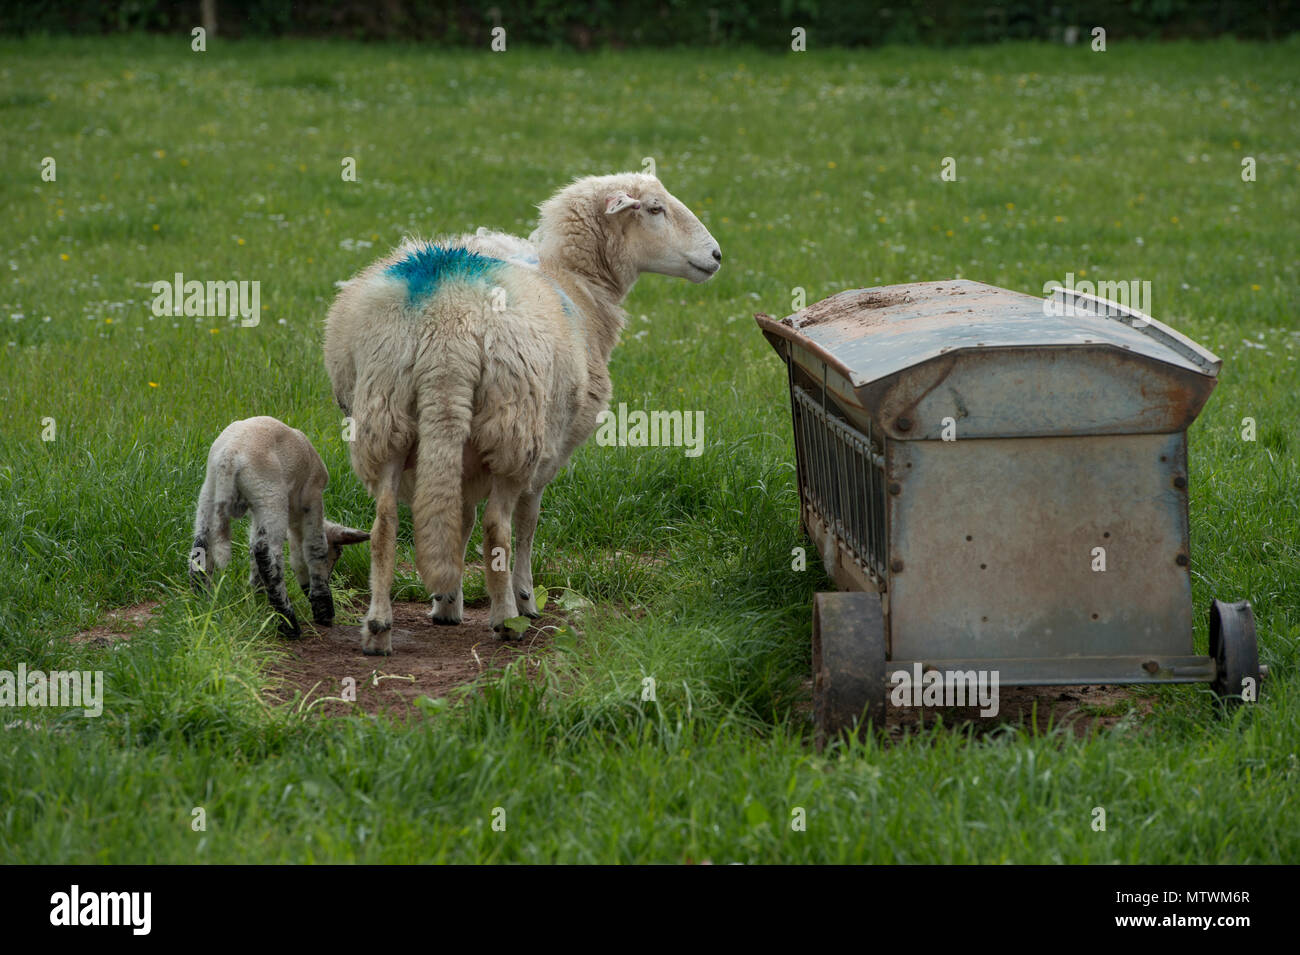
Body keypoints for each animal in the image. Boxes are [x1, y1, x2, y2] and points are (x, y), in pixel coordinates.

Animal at [189, 415, 370, 638]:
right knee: (267, 555)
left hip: (210, 491)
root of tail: (229, 456)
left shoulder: (259, 516)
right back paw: (289, 623)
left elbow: (252, 552)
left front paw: (257, 599)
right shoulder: (313, 497)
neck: (295, 519)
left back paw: (201, 604)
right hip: (271, 494)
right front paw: (324, 609)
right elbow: (315, 547)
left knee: (201, 546)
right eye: (335, 555)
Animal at [324, 172, 721, 655]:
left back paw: (379, 627)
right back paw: (508, 619)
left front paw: (446, 602)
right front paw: (524, 596)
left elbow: (456, 518)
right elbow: (528, 521)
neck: (577, 281)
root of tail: (447, 321)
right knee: (498, 526)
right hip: (513, 428)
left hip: (386, 417)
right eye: (654, 209)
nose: (717, 256)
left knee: (385, 523)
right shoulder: (552, 447)